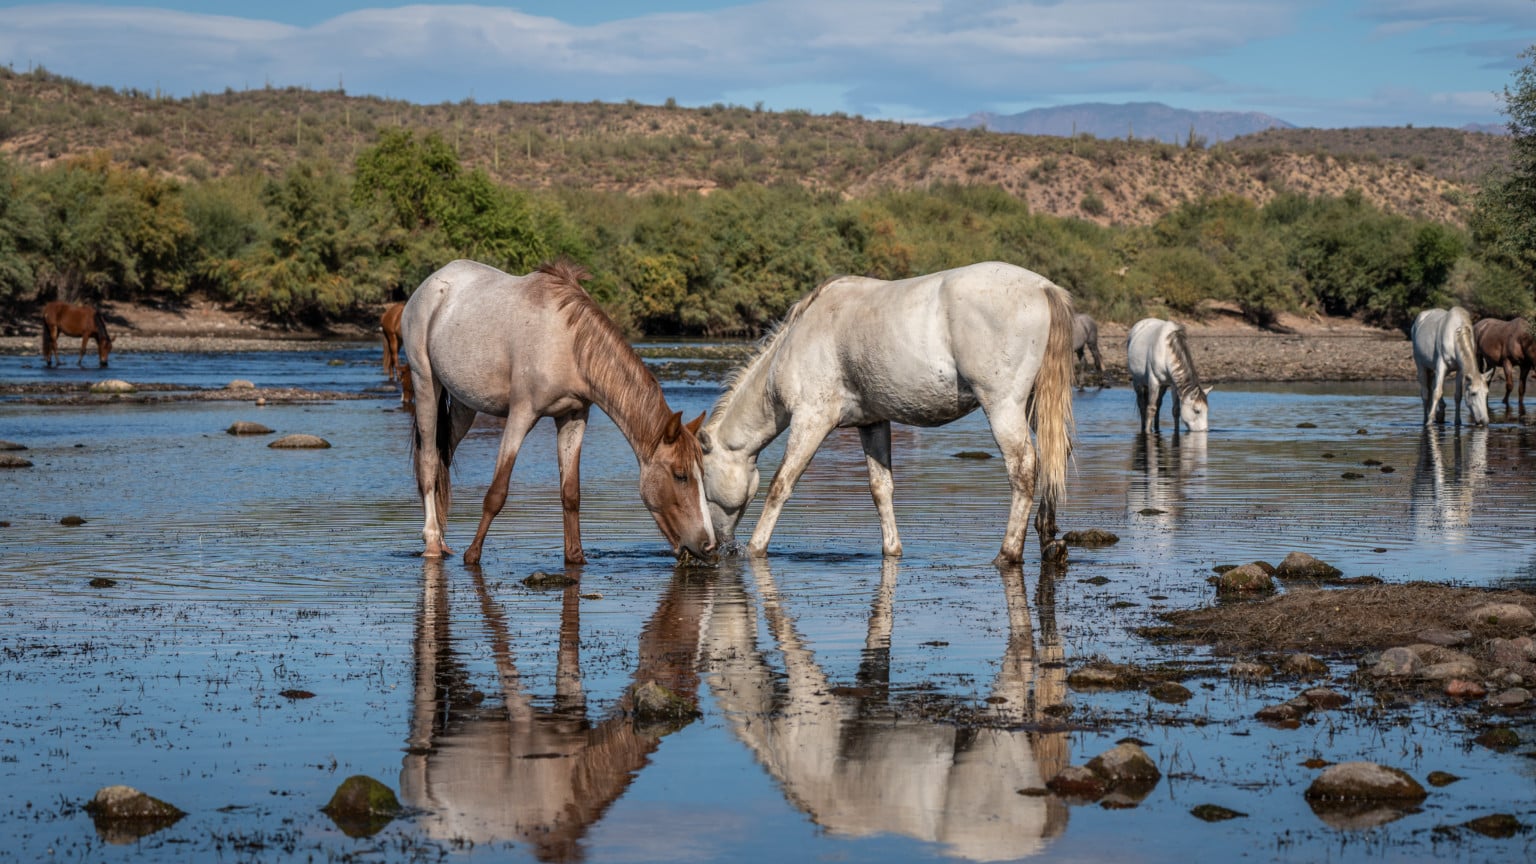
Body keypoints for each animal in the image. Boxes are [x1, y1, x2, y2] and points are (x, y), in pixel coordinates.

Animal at [401, 259, 715, 566]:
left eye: (702, 473)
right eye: (680, 475)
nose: (709, 544)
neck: (569, 345)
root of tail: (429, 285)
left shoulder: (573, 418)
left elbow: (571, 493)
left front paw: (575, 556)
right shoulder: (521, 415)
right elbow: (497, 492)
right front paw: (473, 554)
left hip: (464, 405)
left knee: (443, 457)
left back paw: (442, 540)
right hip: (426, 383)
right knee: (429, 461)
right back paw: (432, 543)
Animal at [700, 261, 1075, 566]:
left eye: (701, 478)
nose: (719, 545)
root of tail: (1043, 288)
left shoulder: (812, 419)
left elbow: (781, 484)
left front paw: (755, 549)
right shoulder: (873, 422)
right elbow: (881, 488)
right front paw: (892, 549)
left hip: (1002, 406)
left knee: (1023, 467)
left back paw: (1007, 553)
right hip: (1035, 407)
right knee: (1054, 455)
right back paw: (1049, 541)